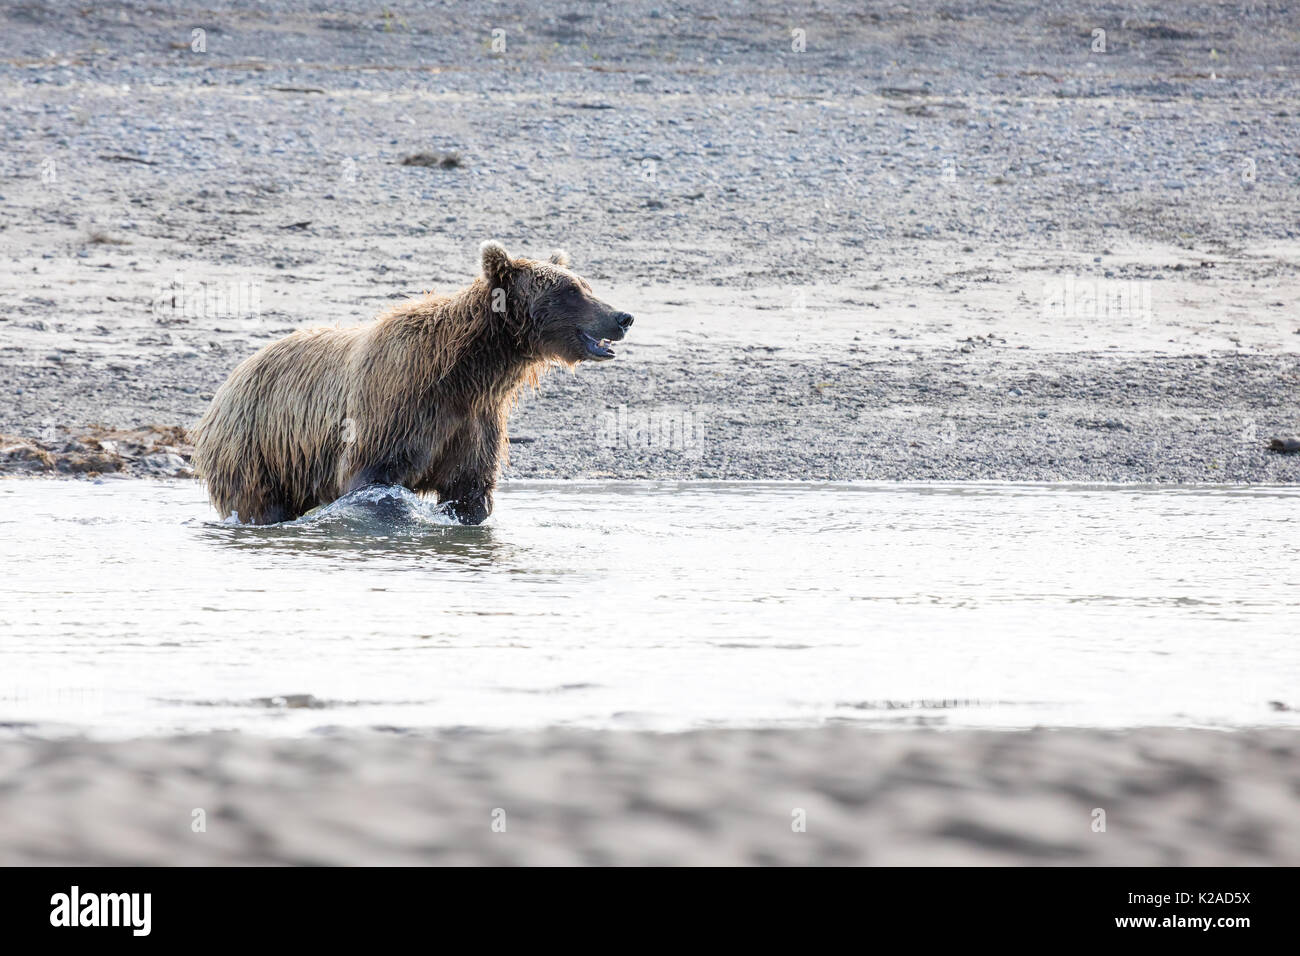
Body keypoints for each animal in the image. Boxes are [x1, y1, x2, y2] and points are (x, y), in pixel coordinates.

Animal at [190, 241, 634, 525]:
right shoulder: (395, 409)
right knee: (260, 504)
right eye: (570, 289)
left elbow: (471, 491)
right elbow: (375, 485)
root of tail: (230, 382)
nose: (623, 316)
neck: (466, 372)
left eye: (585, 284)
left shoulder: (474, 422)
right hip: (258, 449)